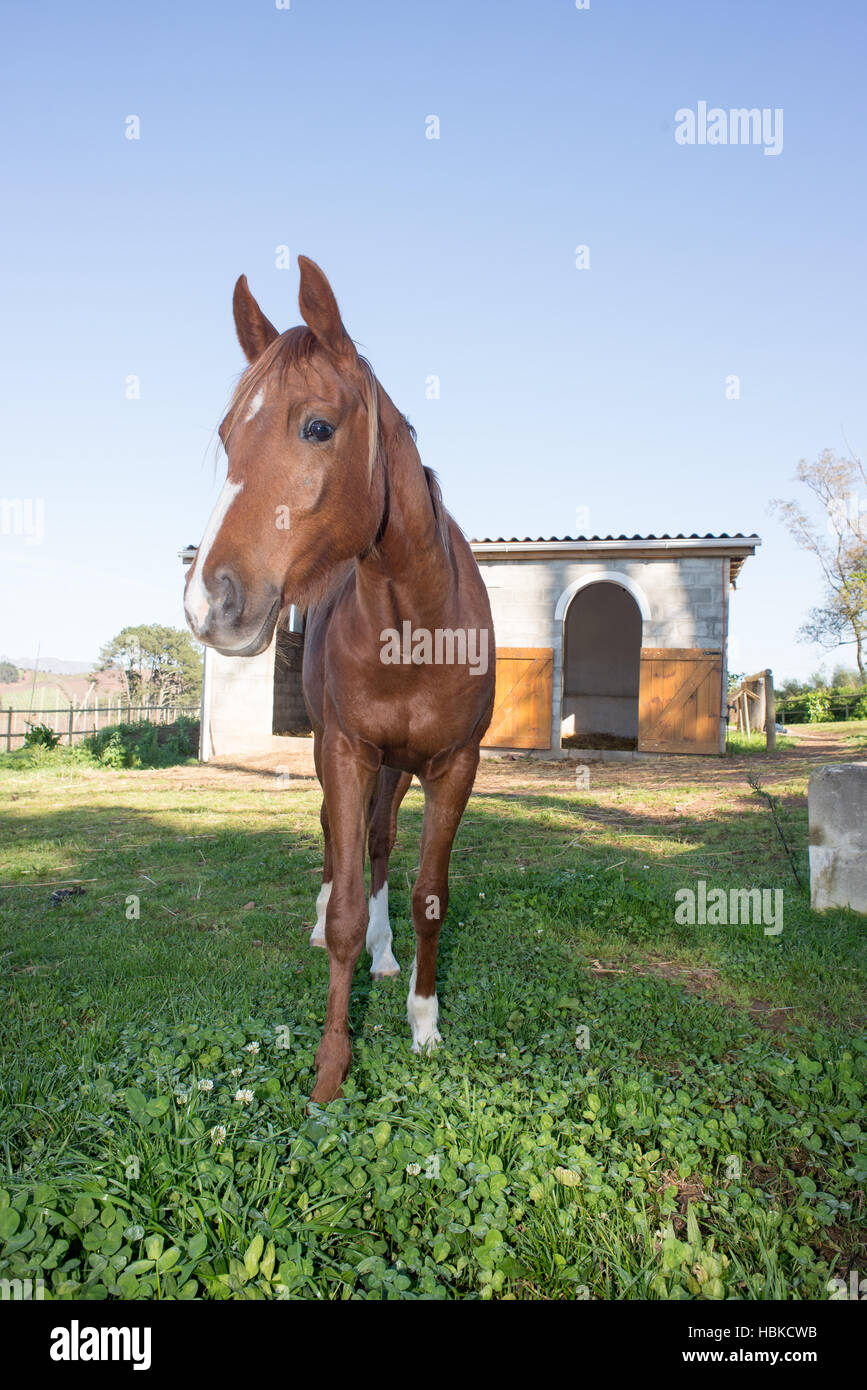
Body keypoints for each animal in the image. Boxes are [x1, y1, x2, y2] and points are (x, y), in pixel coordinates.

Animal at [184, 256, 495, 1102]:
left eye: (317, 427)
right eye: (225, 435)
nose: (208, 602)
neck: (415, 622)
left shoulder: (453, 765)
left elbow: (428, 897)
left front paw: (424, 1024)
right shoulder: (348, 752)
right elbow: (350, 902)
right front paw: (331, 1064)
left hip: (399, 767)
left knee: (382, 843)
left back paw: (388, 961)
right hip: (347, 756)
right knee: (338, 839)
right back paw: (323, 920)